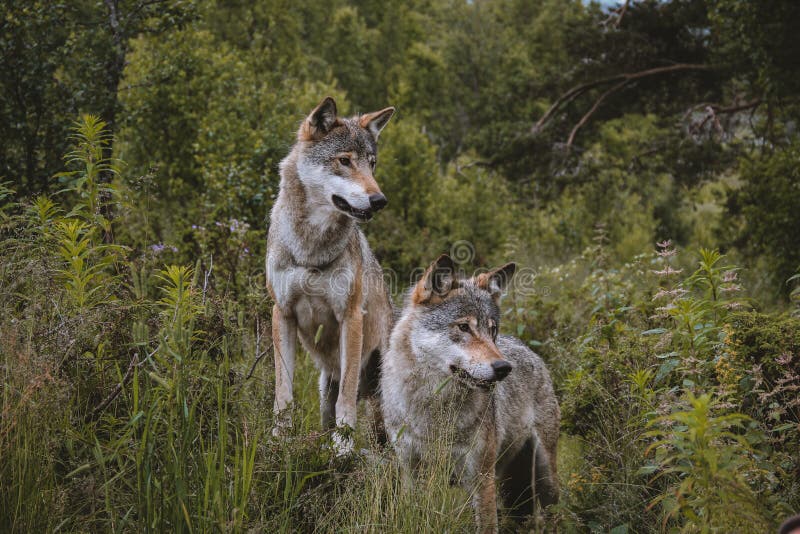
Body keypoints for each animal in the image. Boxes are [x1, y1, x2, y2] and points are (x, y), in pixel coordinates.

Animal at [266, 96, 395, 453]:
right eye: (345, 161)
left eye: (372, 164)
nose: (380, 200)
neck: (311, 250)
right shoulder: (281, 313)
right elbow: (284, 392)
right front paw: (280, 438)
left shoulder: (350, 316)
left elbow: (347, 397)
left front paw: (343, 446)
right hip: (325, 383)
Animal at [381, 255, 560, 532]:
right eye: (464, 327)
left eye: (492, 330)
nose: (504, 368)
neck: (435, 409)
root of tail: (530, 351)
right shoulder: (411, 471)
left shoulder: (481, 478)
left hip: (544, 476)